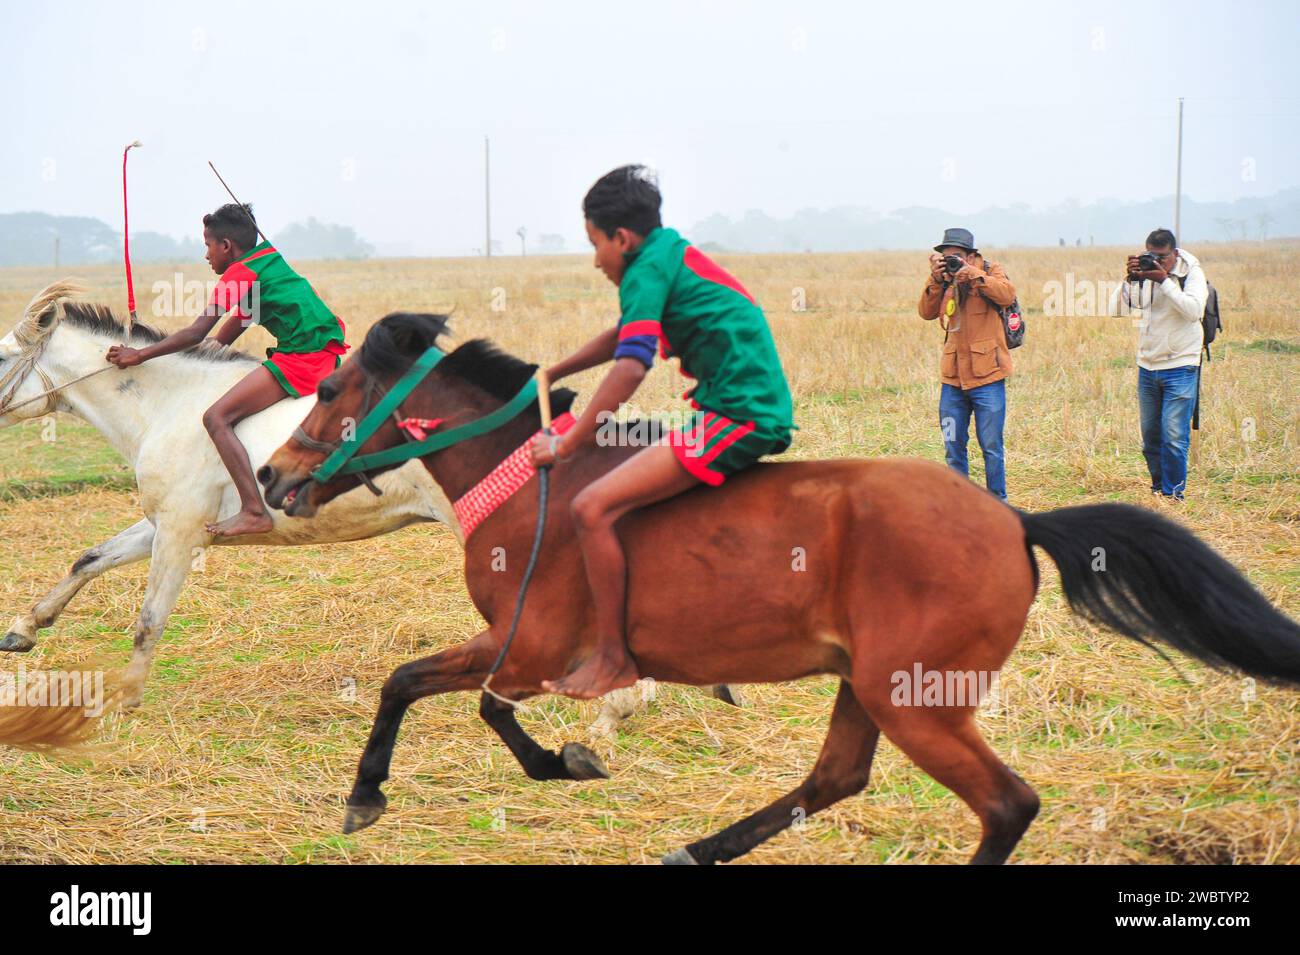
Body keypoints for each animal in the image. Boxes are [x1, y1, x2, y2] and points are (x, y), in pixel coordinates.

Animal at [260, 311, 1300, 864]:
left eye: (329, 391)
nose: (272, 476)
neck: (528, 480)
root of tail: (1013, 520)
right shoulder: (521, 648)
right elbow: (431, 688)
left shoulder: (535, 644)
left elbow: (444, 692)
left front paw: (531, 766)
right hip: (869, 684)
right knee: (835, 776)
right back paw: (698, 847)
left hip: (916, 698)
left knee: (1007, 803)